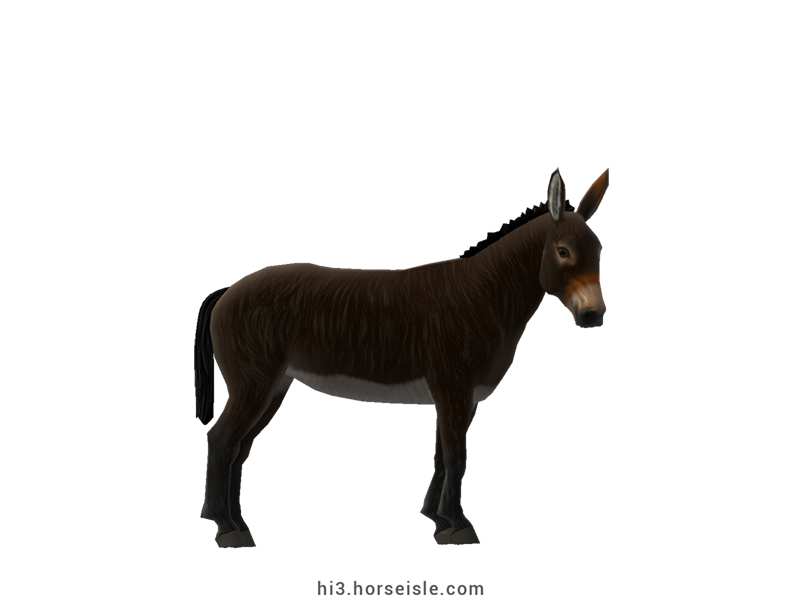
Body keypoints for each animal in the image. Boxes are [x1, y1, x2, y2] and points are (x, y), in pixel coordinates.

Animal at [195, 171, 607, 542]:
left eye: (598, 250)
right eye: (564, 251)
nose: (592, 315)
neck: (484, 296)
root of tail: (228, 292)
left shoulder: (459, 392)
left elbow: (443, 454)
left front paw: (437, 520)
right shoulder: (453, 385)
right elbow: (456, 455)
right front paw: (459, 525)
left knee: (233, 445)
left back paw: (235, 522)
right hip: (252, 381)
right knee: (221, 441)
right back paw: (226, 528)